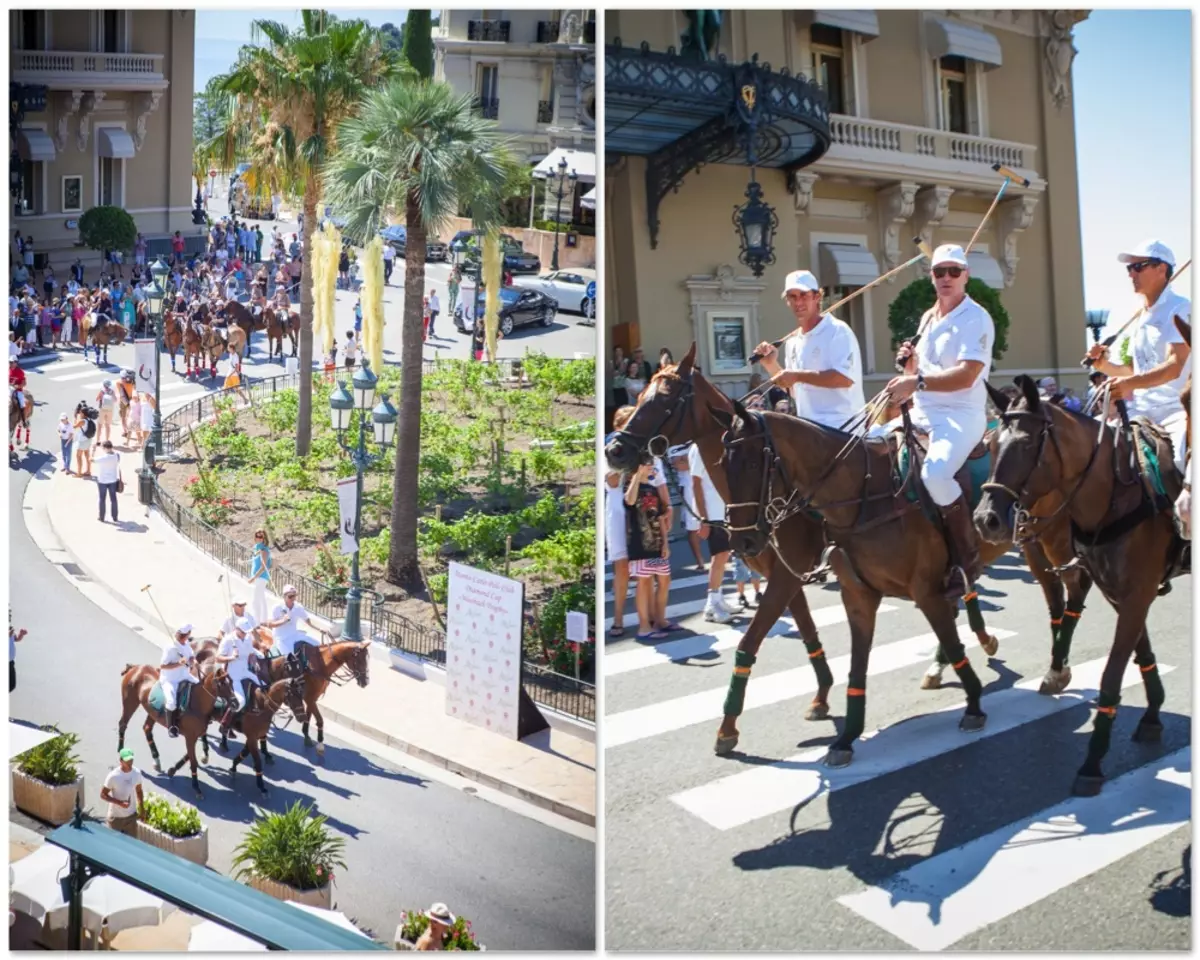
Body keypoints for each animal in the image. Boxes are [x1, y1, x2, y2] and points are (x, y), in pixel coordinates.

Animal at [119, 657, 226, 796]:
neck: (198, 702)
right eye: (223, 683)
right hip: (130, 702)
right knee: (123, 724)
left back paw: (156, 760)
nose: (236, 703)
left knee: (147, 728)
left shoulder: (196, 733)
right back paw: (121, 751)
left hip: (152, 712)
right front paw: (196, 786)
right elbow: (192, 759)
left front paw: (173, 770)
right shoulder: (190, 736)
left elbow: (190, 755)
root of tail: (135, 667)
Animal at [979, 374, 1185, 796]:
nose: (986, 519)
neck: (1118, 494)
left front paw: (1092, 762)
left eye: (1026, 444)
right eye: (990, 444)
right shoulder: (1119, 592)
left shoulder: (1134, 593)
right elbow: (1140, 650)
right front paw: (1153, 713)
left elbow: (1111, 673)